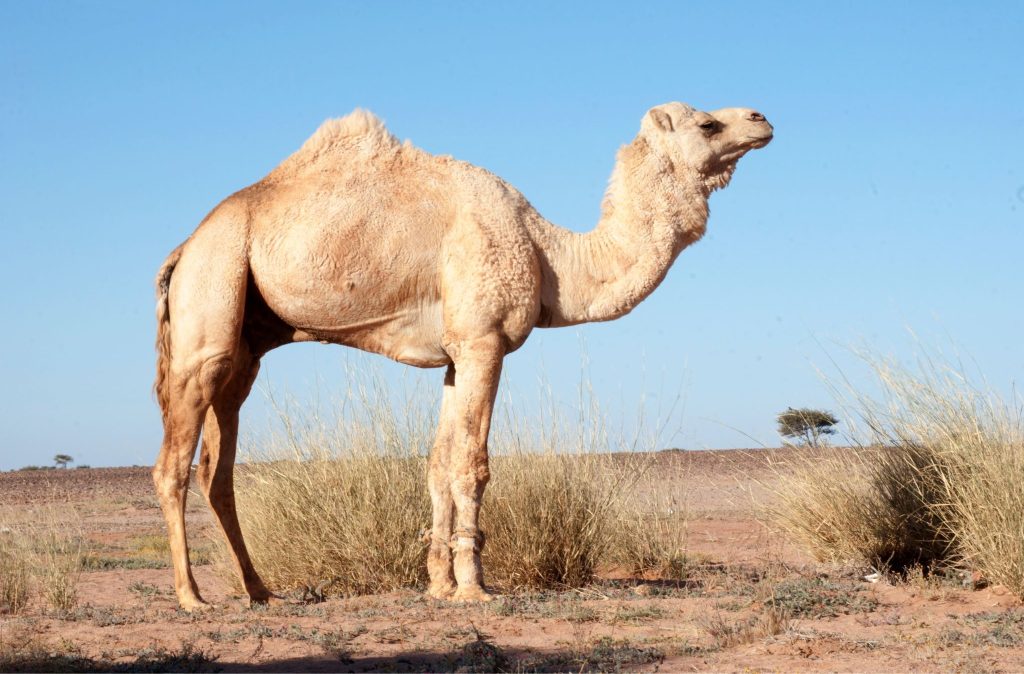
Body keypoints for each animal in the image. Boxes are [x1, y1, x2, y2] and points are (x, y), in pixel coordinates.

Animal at [153, 102, 773, 610]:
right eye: (708, 124)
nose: (762, 119)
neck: (547, 254)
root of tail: (185, 246)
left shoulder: (456, 354)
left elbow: (439, 463)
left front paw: (439, 584)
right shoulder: (484, 340)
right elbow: (472, 463)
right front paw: (475, 587)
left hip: (245, 346)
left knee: (217, 469)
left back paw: (260, 591)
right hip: (210, 300)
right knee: (173, 465)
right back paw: (192, 598)